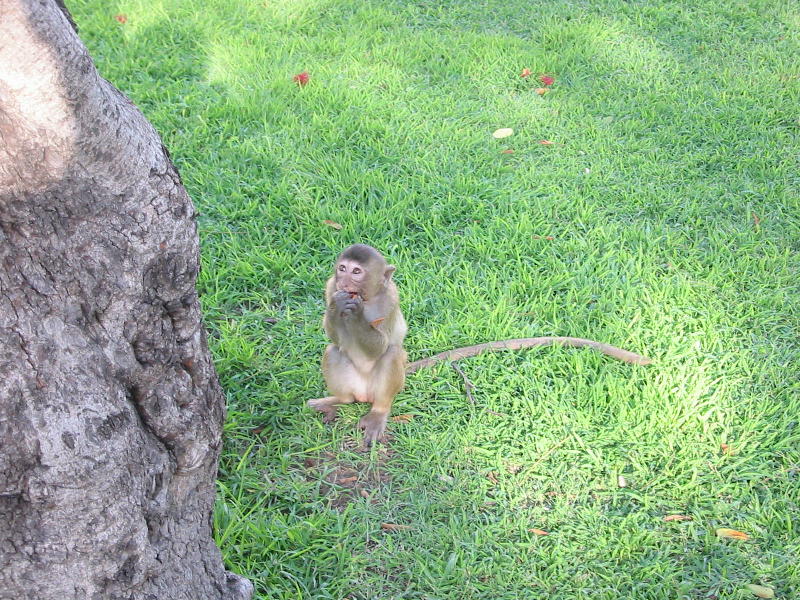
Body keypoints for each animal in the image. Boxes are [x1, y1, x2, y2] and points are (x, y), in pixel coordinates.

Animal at [310, 244, 652, 446]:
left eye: (357, 271)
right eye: (342, 268)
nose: (345, 281)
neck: (367, 297)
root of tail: (363, 396)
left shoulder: (389, 299)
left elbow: (380, 347)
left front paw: (353, 312)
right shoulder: (328, 285)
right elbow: (335, 338)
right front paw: (338, 306)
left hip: (386, 385)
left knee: (392, 354)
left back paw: (380, 411)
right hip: (354, 388)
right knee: (334, 352)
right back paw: (338, 401)